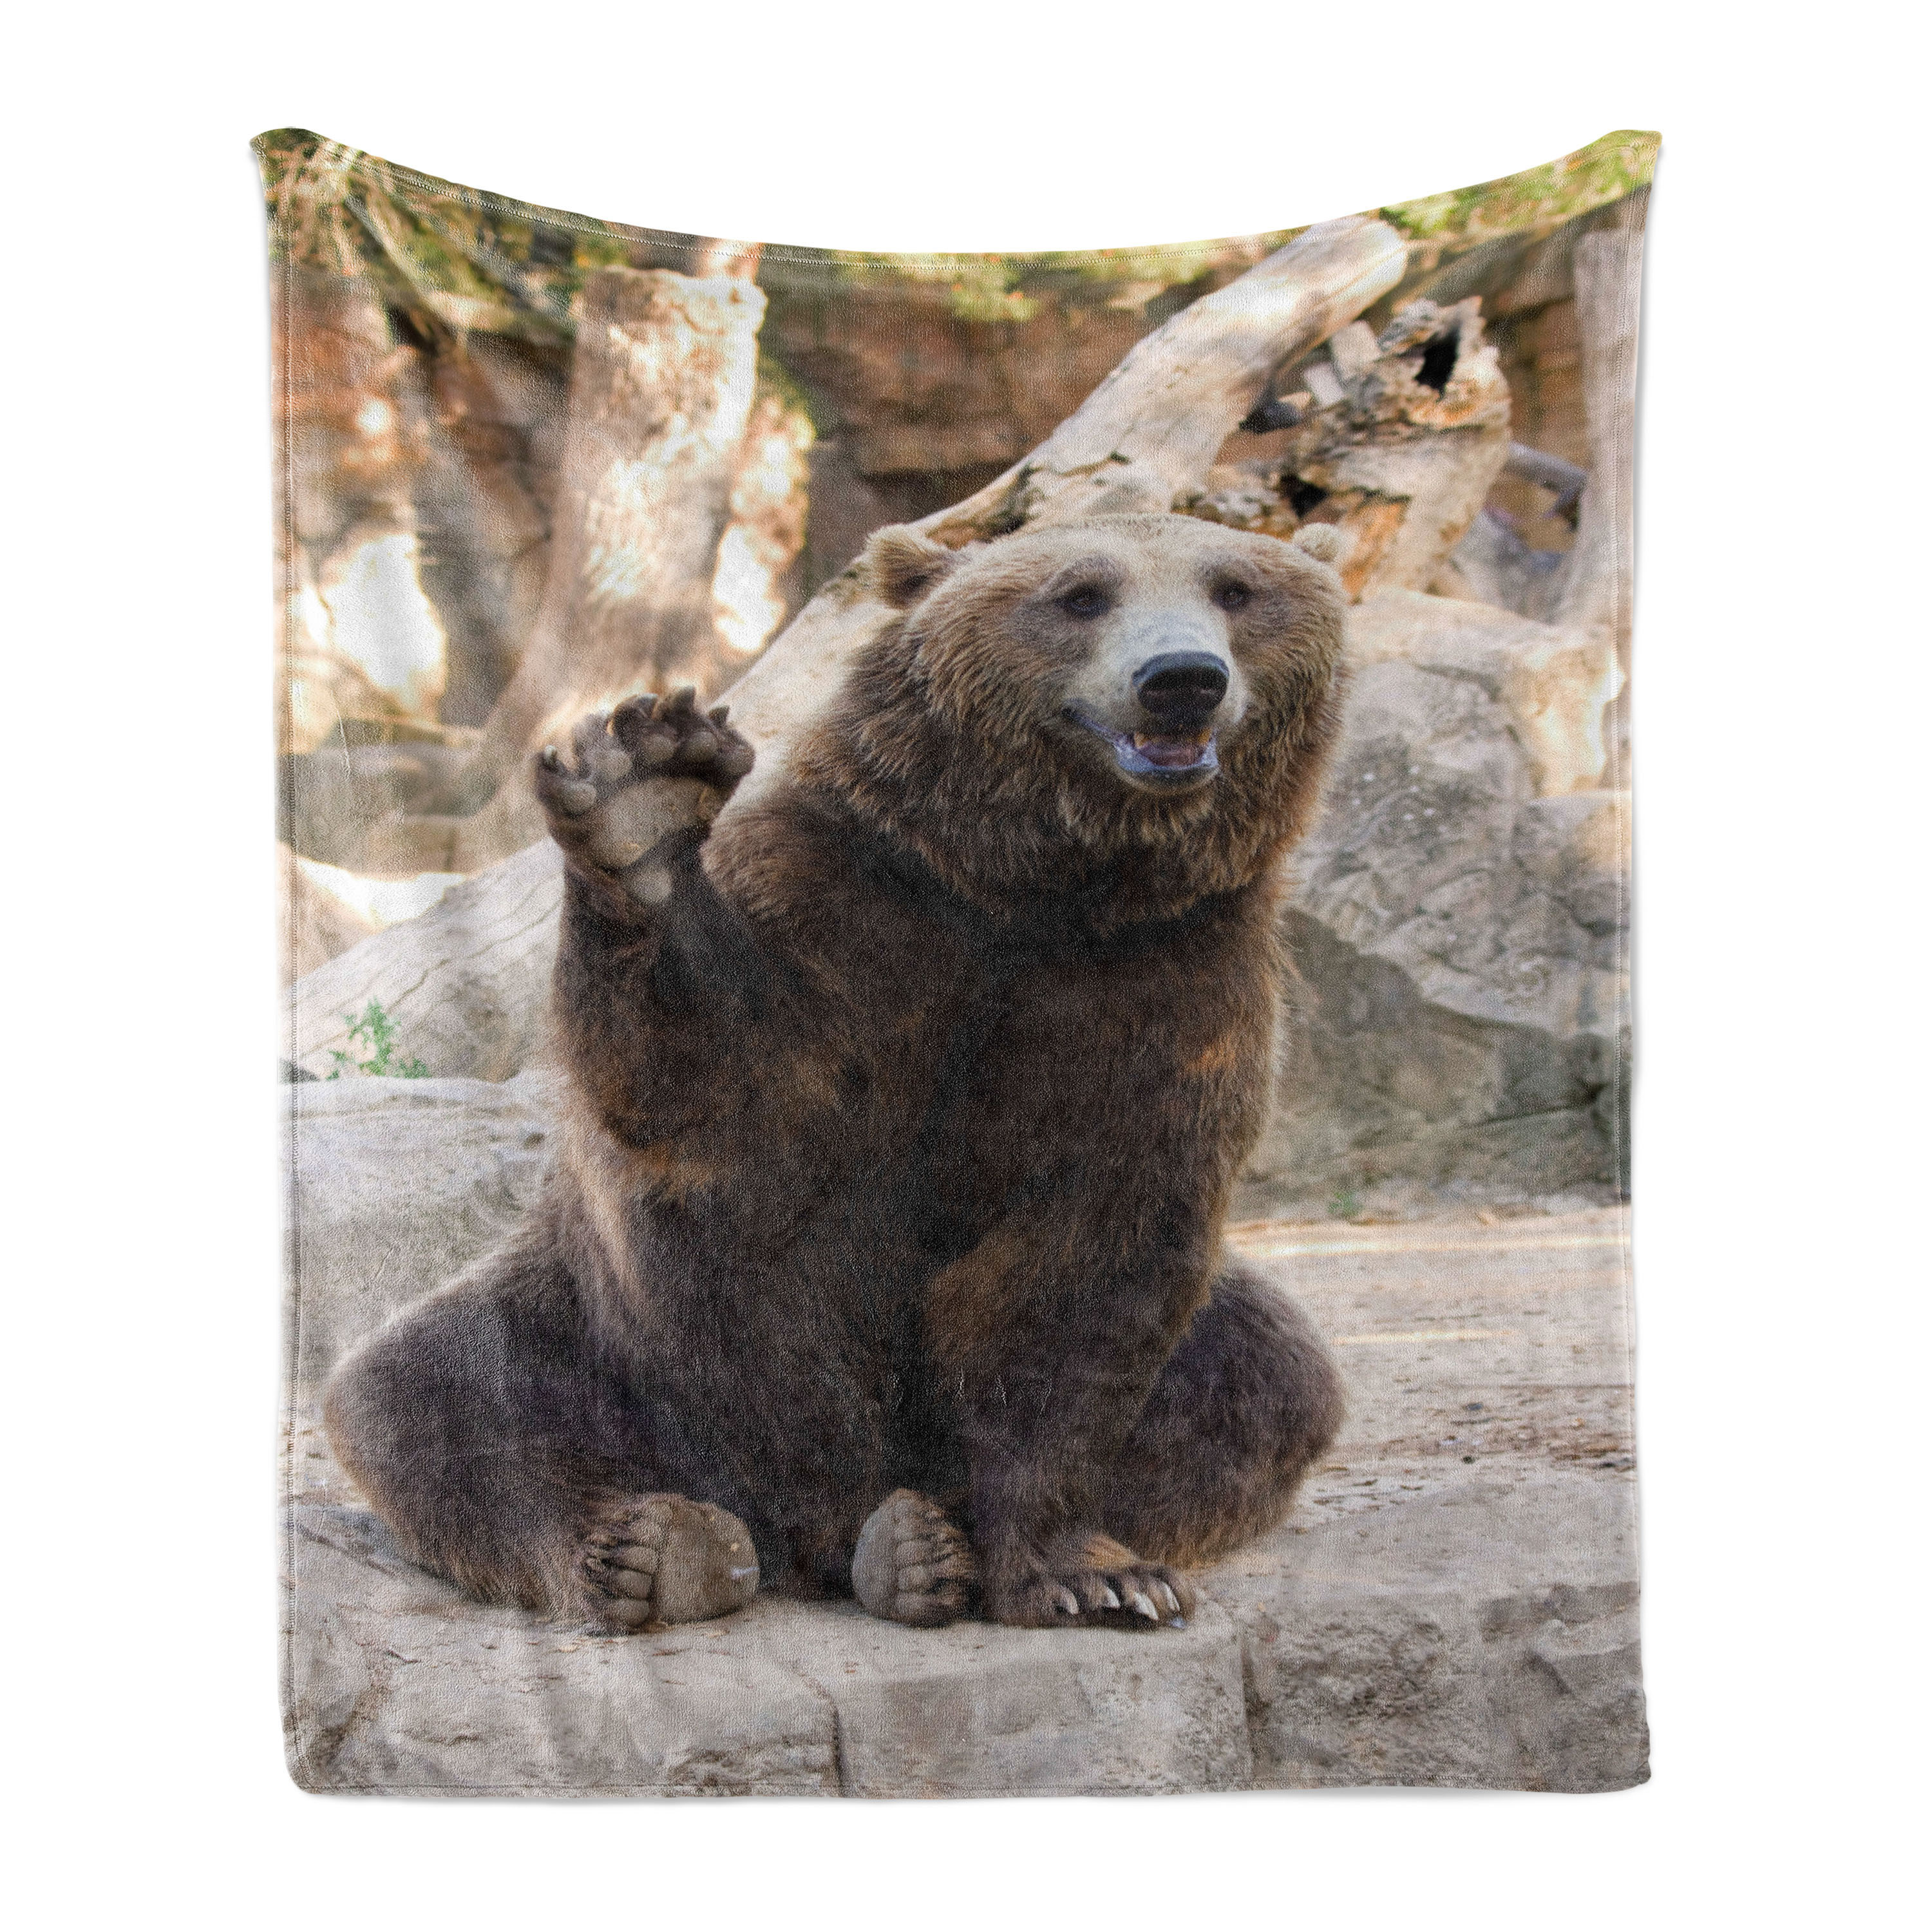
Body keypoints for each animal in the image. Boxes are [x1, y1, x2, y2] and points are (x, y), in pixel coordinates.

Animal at [323, 512, 1350, 1634]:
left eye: (1236, 588)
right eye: (1081, 593)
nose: (1182, 679)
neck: (1042, 891)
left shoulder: (1172, 983)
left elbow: (1094, 1264)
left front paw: (1092, 1574)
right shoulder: (843, 907)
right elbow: (709, 1098)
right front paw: (643, 803)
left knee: (1271, 1376)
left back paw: (926, 1545)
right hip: (587, 1330)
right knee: (427, 1395)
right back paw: (657, 1550)